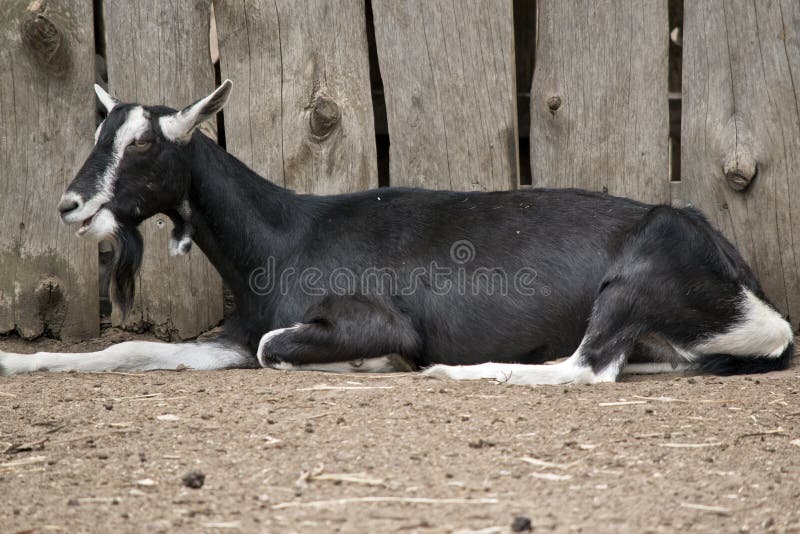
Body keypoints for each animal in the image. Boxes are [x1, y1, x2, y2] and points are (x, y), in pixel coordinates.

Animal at [0, 81, 794, 384]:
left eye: (141, 143)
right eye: (99, 132)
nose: (70, 205)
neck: (284, 238)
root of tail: (755, 295)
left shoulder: (366, 316)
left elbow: (274, 347)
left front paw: (376, 362)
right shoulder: (232, 331)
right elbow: (129, 347)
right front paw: (14, 364)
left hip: (642, 271)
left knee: (585, 368)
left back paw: (454, 371)